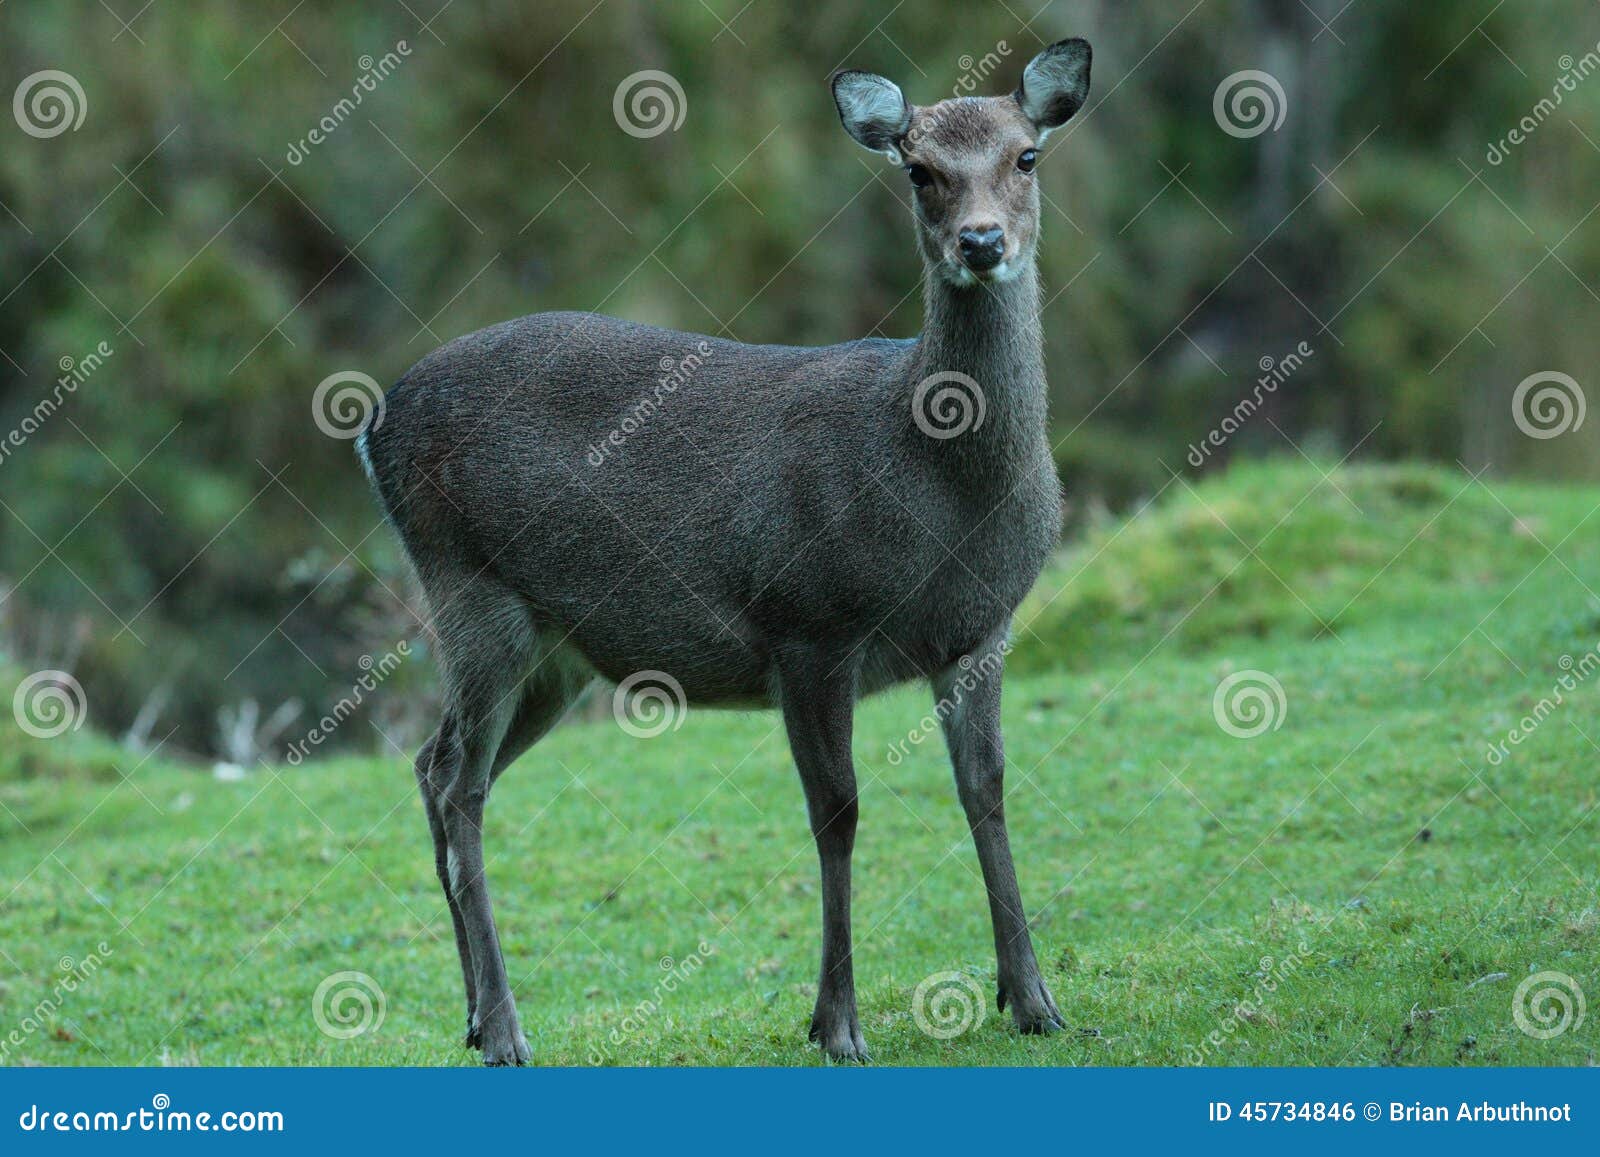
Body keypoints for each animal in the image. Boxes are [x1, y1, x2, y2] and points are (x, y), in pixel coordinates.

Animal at [356, 37, 1092, 1064]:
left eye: (1026, 155)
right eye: (919, 169)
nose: (981, 242)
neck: (942, 493)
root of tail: (371, 425)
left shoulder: (981, 629)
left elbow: (985, 793)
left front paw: (1031, 998)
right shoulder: (808, 622)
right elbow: (838, 812)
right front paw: (837, 1023)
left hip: (556, 651)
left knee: (436, 766)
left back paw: (470, 1016)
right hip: (469, 586)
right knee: (458, 784)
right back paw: (503, 1027)